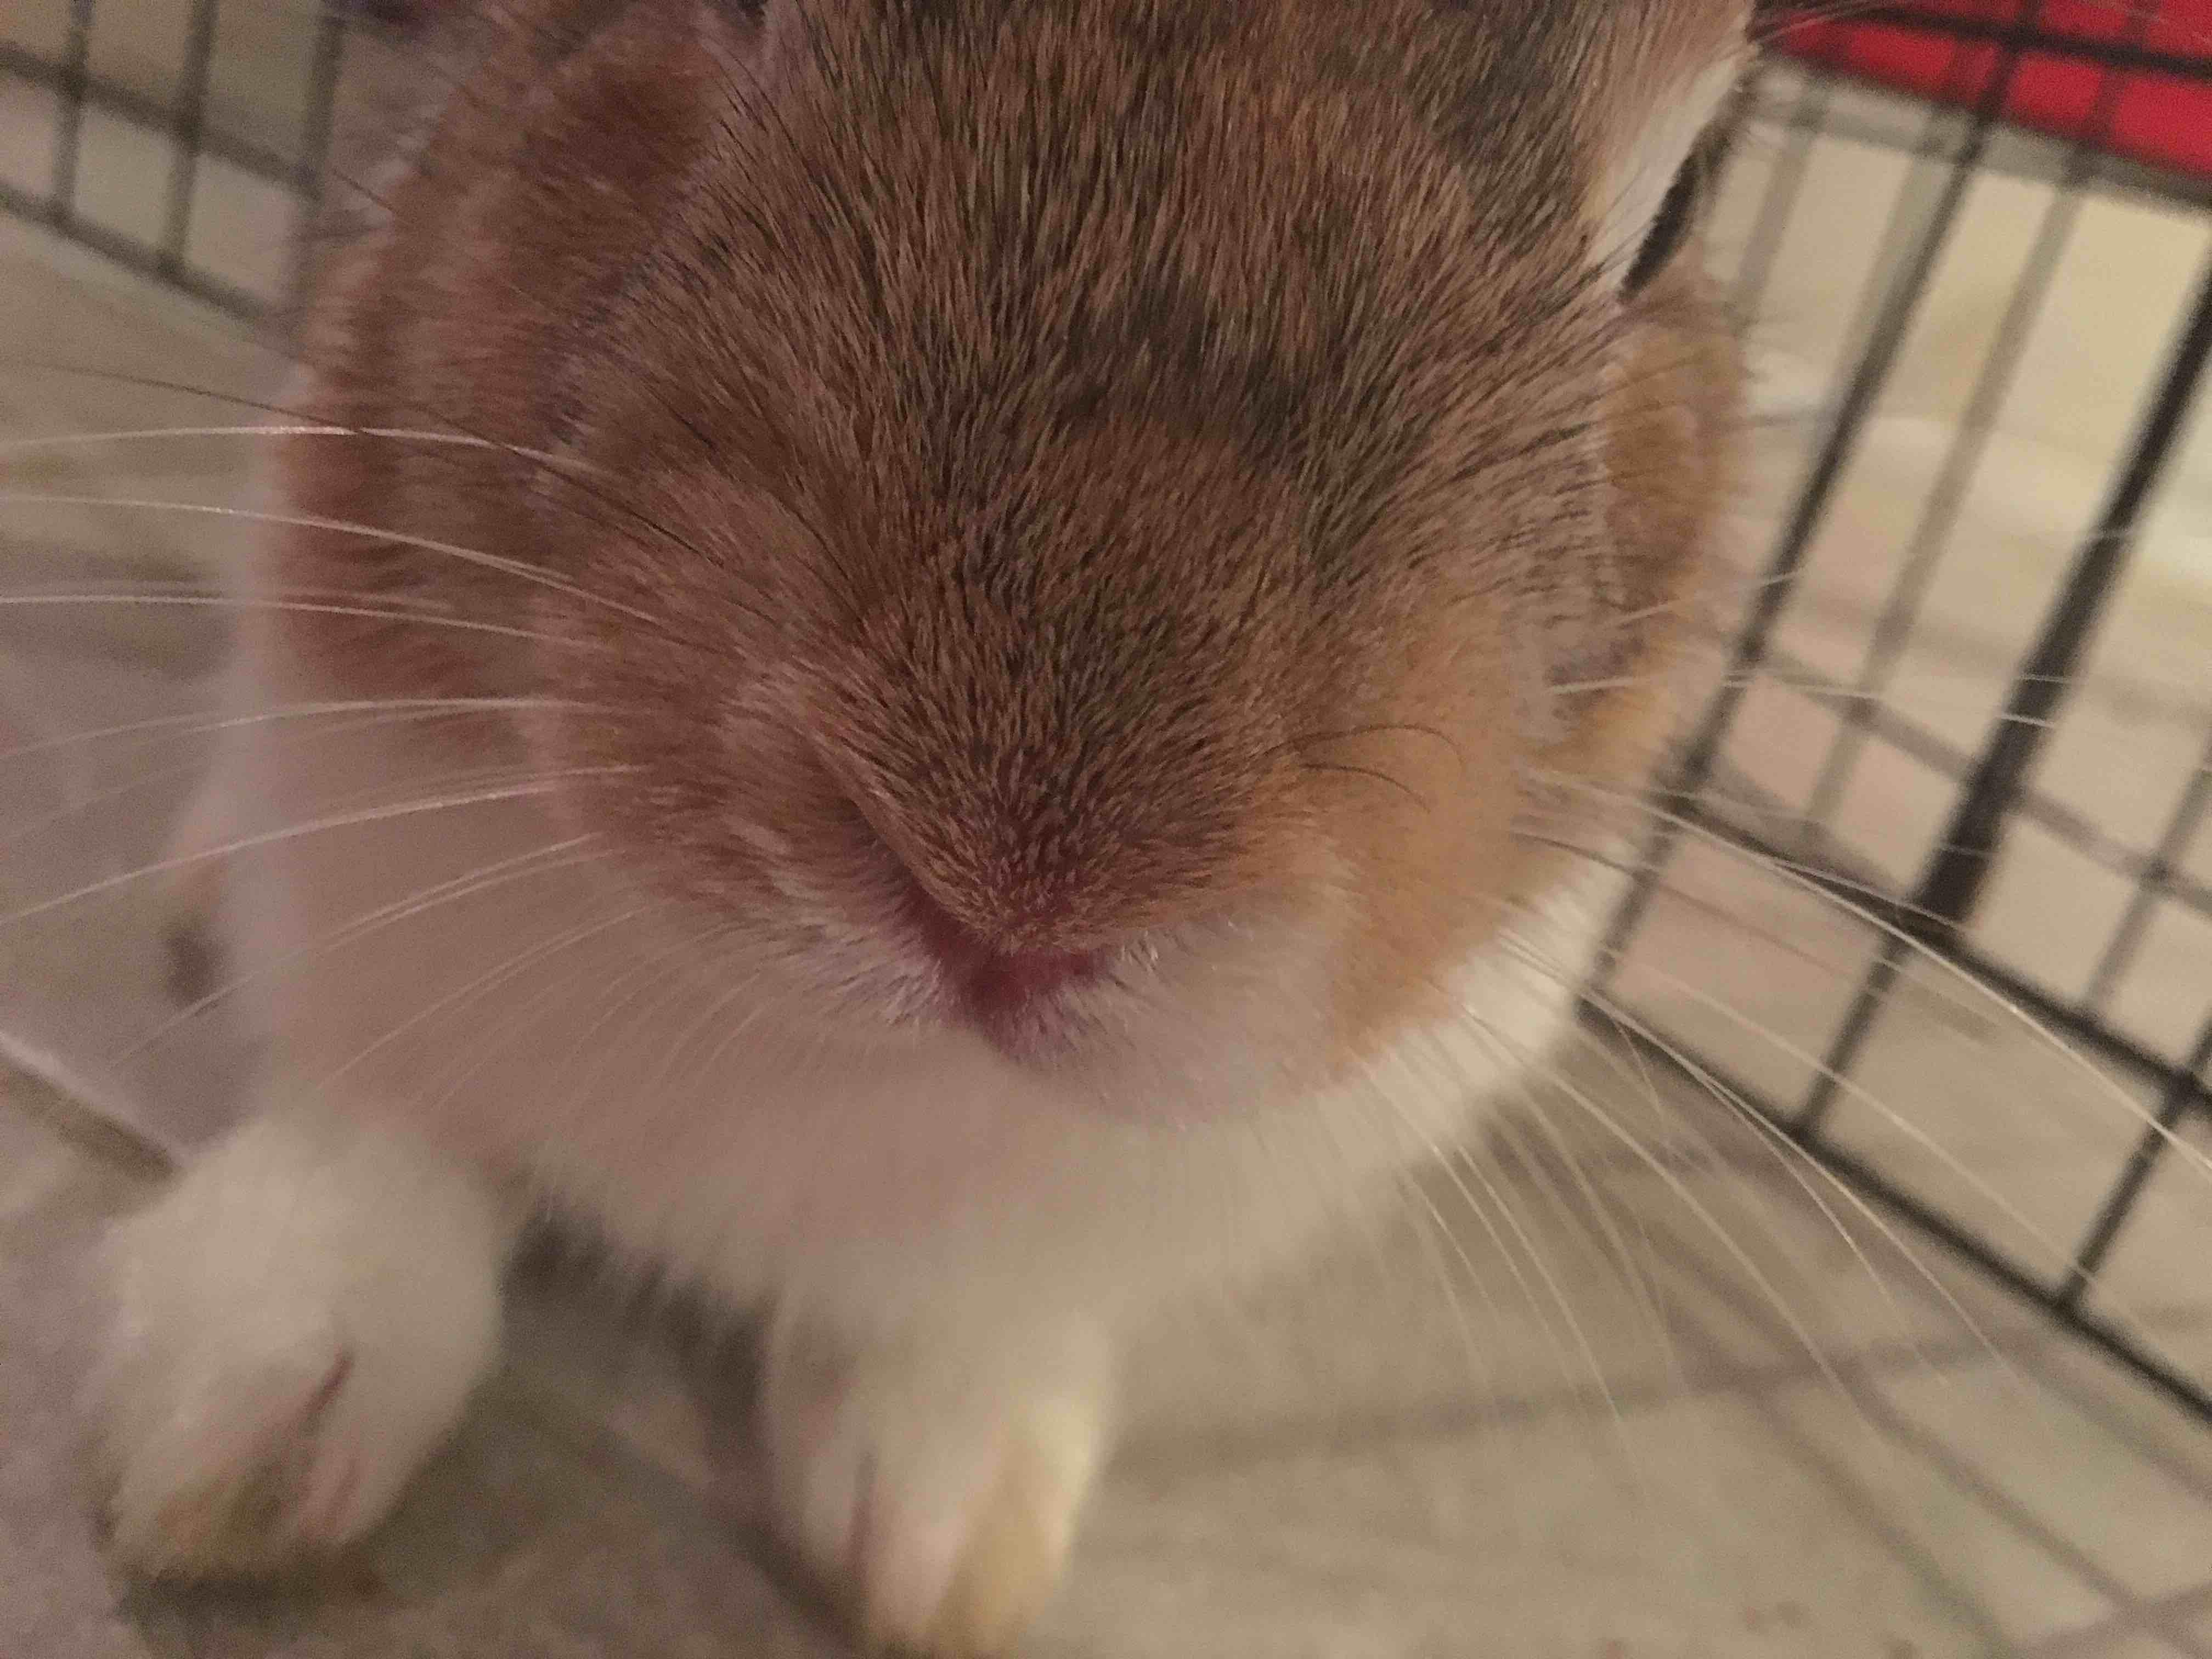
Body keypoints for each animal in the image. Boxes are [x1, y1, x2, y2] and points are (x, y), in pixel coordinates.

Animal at [86, 1, 1751, 1651]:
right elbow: (380, 1149)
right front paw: (241, 1420)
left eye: (1682, 207)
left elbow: (953, 1326)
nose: (1020, 906)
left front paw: (948, 1551)